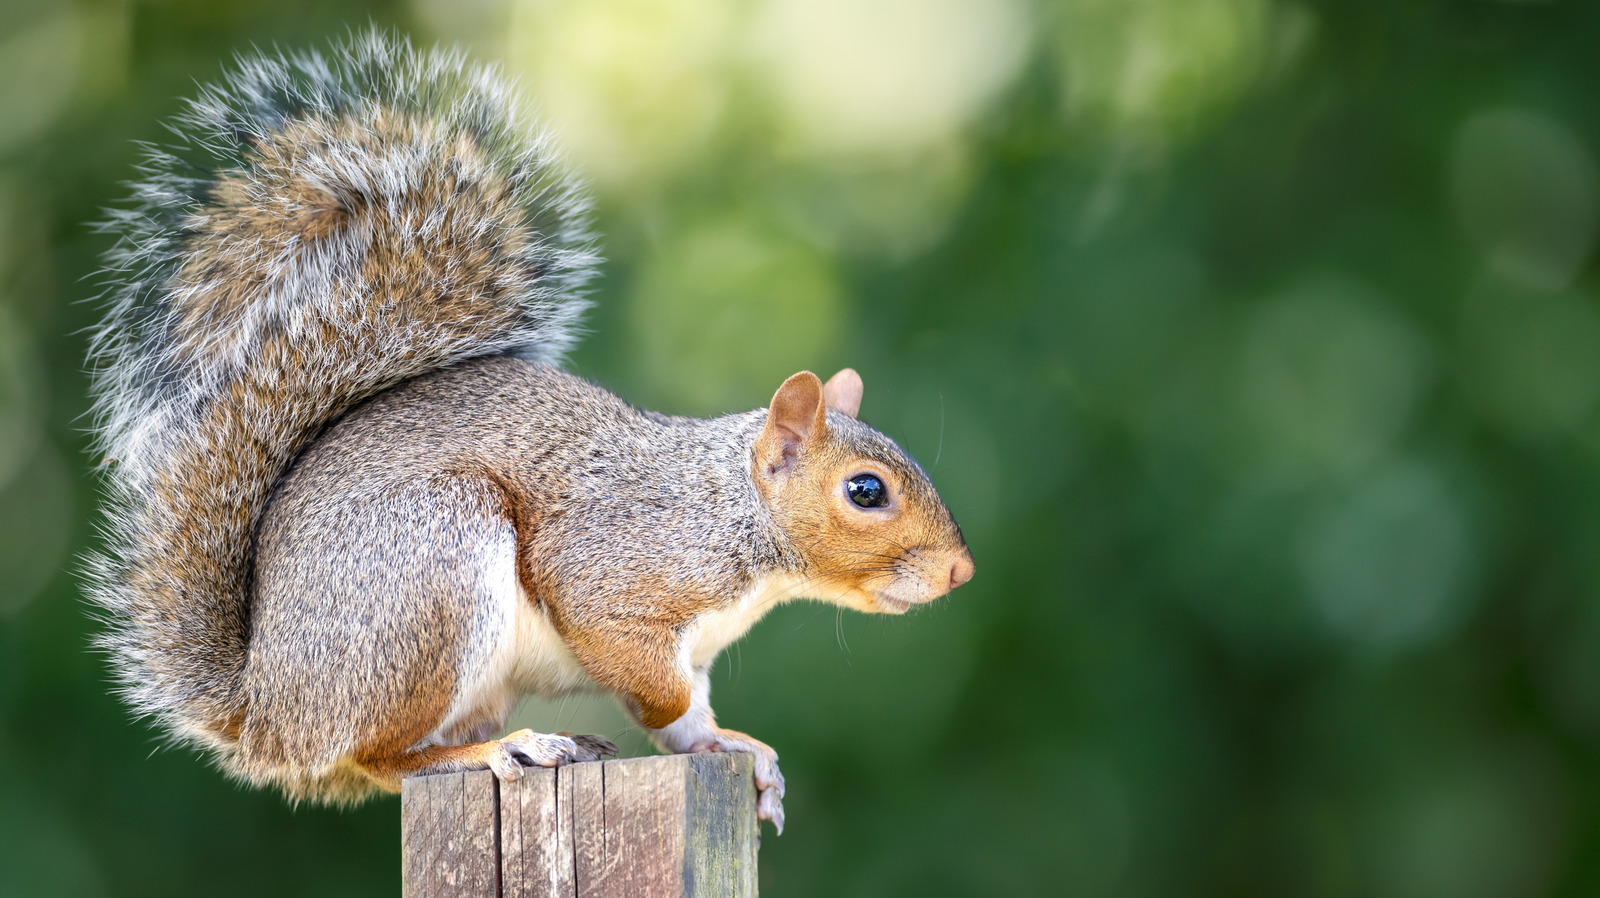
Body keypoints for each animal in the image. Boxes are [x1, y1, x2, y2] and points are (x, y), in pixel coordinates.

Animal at [84, 32, 973, 834]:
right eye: (866, 491)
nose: (961, 572)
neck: (733, 516)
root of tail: (264, 707)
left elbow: (693, 711)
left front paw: (737, 750)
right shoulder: (618, 572)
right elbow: (652, 683)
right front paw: (688, 729)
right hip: (427, 570)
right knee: (381, 757)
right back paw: (498, 751)